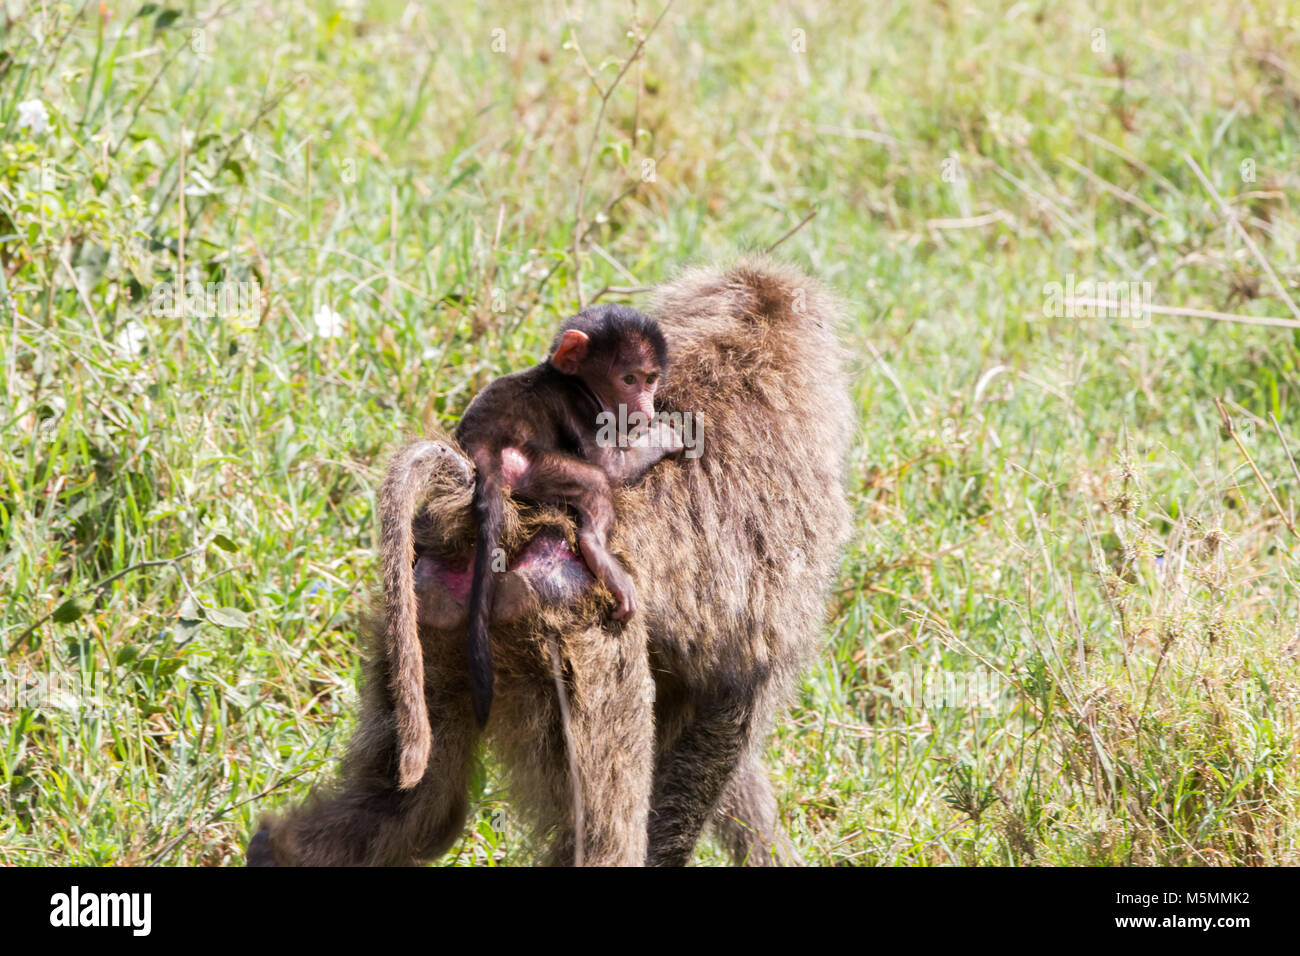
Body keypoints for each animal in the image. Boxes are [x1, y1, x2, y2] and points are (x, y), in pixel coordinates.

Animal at [247, 256, 852, 866]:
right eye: (631, 379)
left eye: (650, 378)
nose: (645, 407)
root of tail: (499, 518)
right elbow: (727, 719)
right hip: (581, 640)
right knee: (602, 835)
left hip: (424, 619)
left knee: (416, 812)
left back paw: (276, 847)